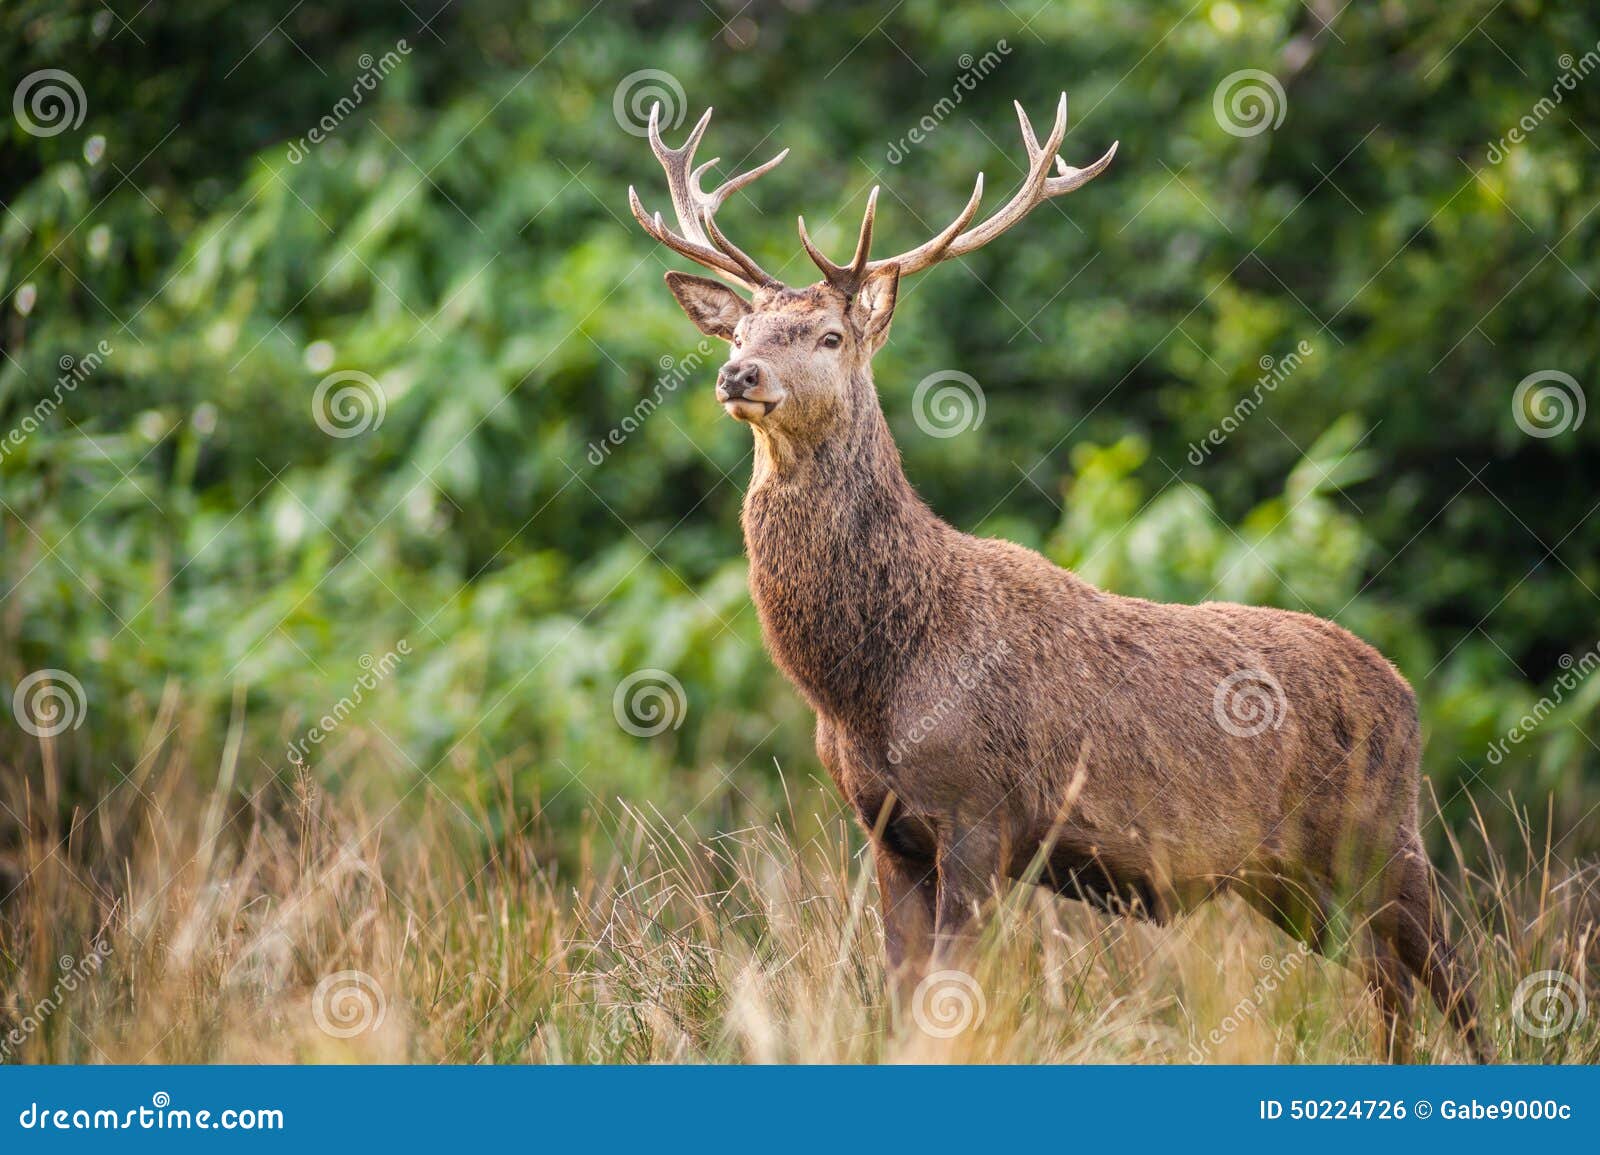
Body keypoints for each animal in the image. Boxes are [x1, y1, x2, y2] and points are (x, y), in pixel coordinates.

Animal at [629, 94, 1493, 1064]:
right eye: (741, 330)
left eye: (829, 334)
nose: (737, 373)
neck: (869, 682)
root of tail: (1405, 690)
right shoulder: (886, 831)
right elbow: (900, 997)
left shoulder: (981, 812)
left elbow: (950, 997)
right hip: (1289, 878)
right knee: (1389, 981)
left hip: (1382, 829)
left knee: (1456, 974)